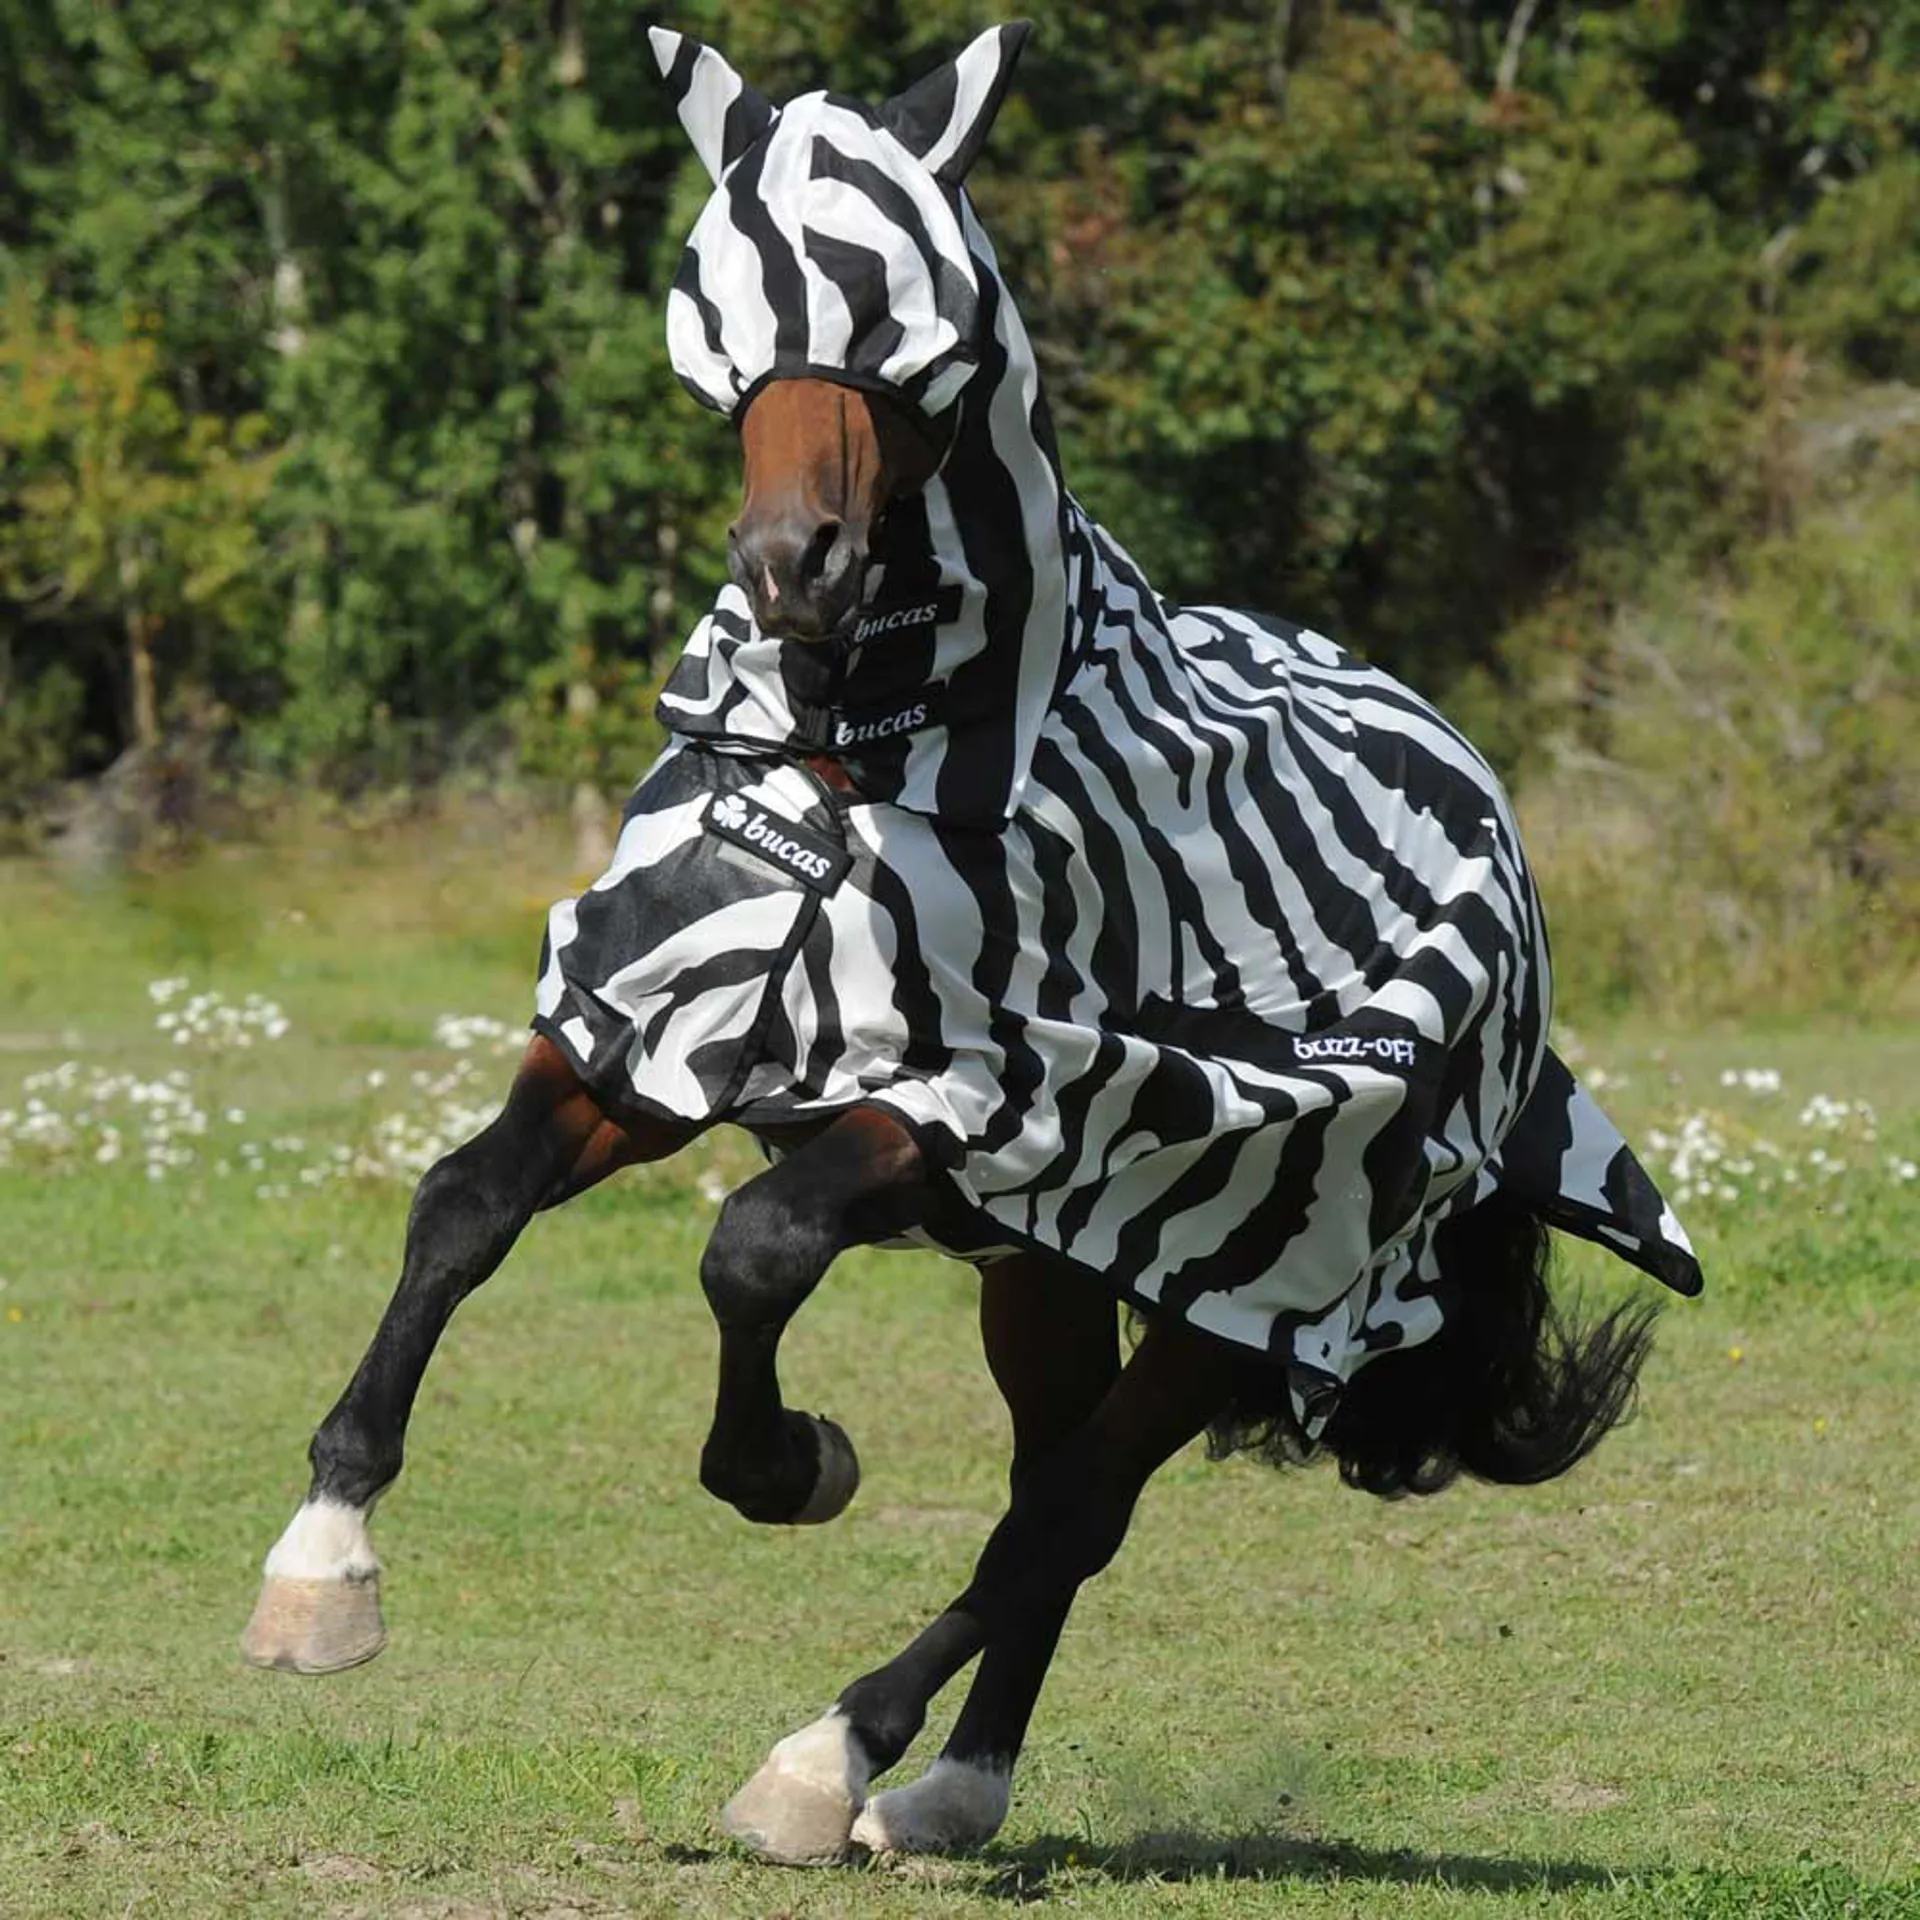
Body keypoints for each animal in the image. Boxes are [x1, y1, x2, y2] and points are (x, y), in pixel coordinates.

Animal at [241, 22, 1702, 1866]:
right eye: (722, 327)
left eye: (921, 344)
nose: (796, 567)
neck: (875, 769)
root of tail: (1488, 822)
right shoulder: (655, 1023)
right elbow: (464, 1207)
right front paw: (323, 1561)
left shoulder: (969, 1108)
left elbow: (753, 1255)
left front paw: (794, 1464)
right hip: (1051, 1274)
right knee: (1045, 1495)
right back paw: (950, 1782)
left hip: (1229, 1271)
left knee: (1070, 1510)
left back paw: (840, 1759)